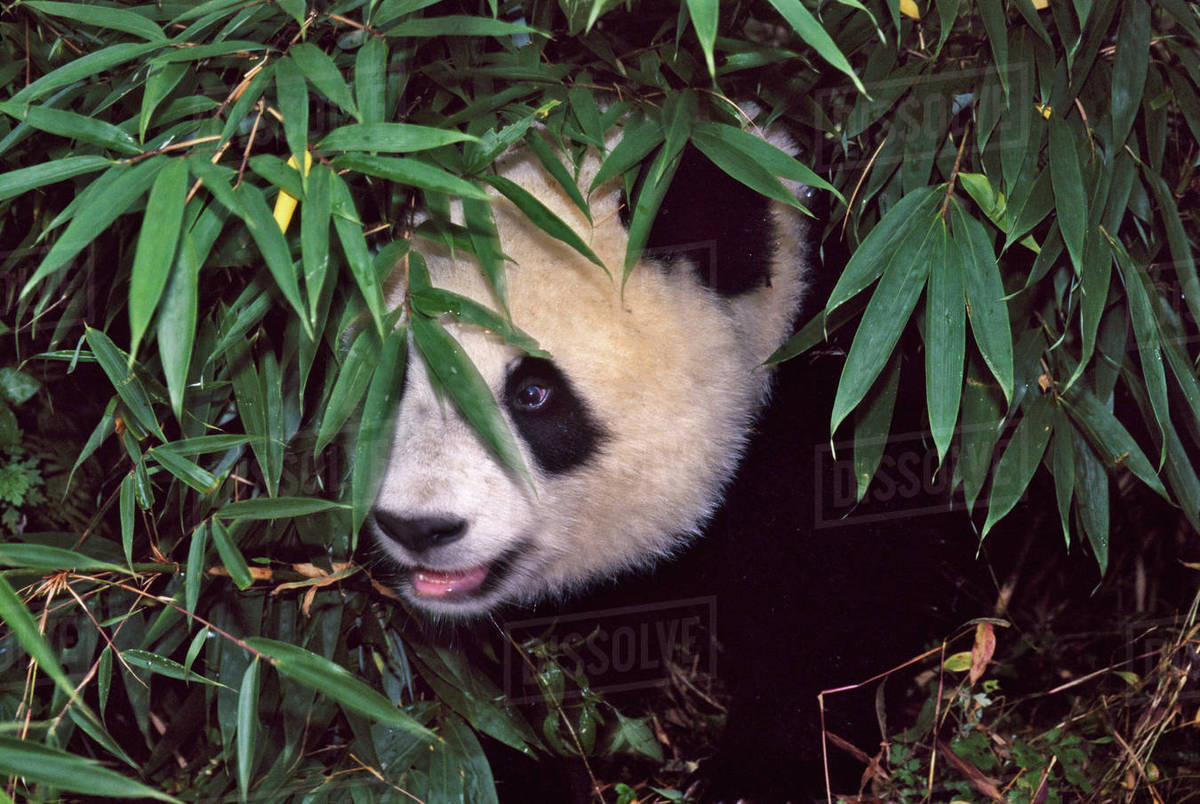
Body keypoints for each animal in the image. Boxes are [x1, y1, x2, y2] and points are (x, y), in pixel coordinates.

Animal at [363, 127, 970, 800]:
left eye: (534, 394)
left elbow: (836, 625)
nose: (418, 527)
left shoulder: (851, 421)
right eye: (395, 377)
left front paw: (752, 775)